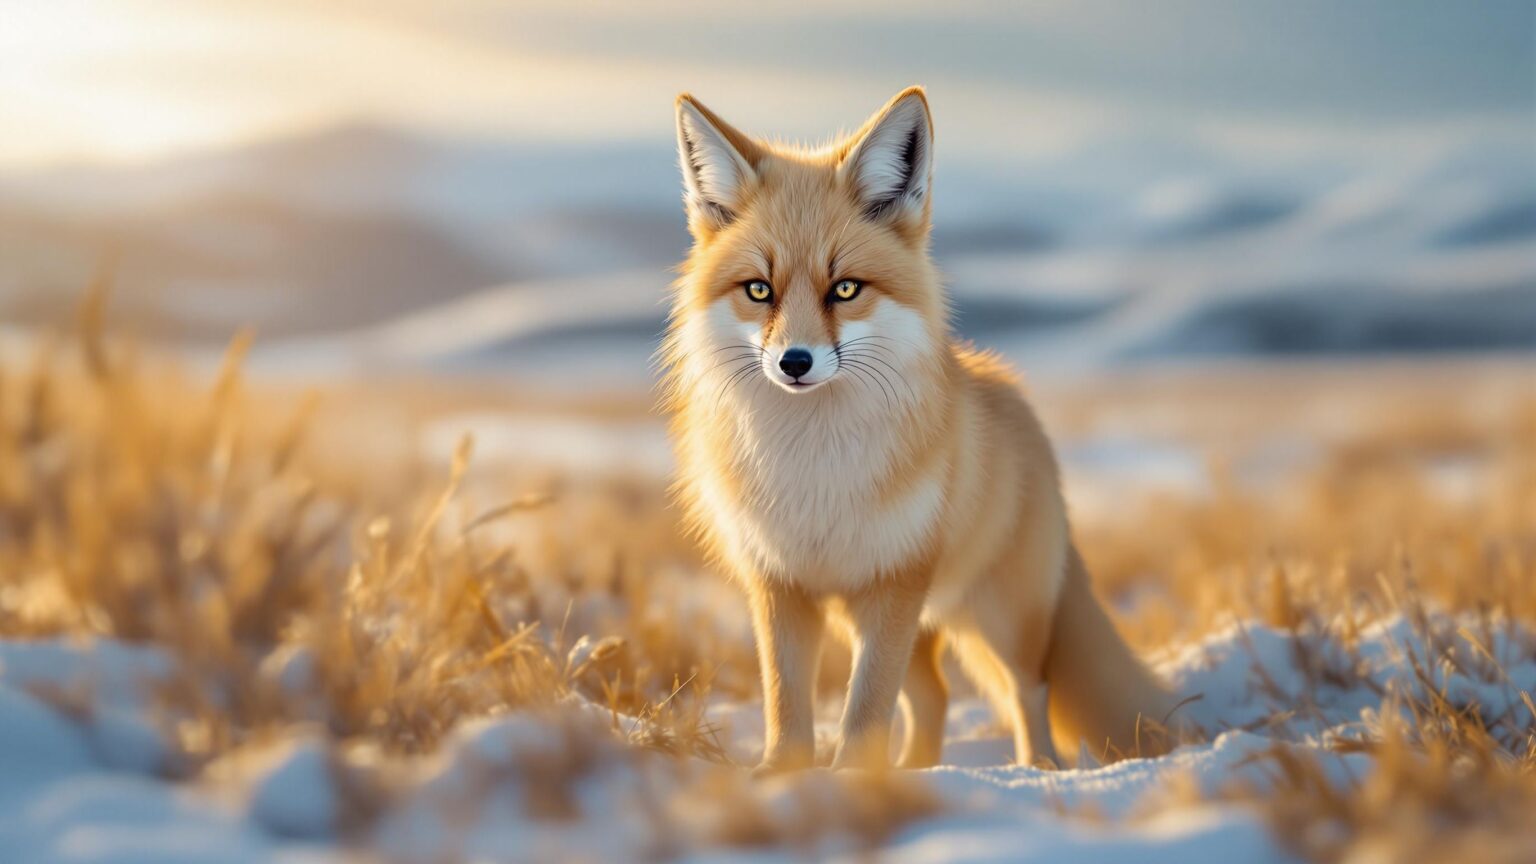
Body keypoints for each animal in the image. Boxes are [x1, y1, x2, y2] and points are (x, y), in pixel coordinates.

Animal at [660, 86, 1177, 772]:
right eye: (760, 290)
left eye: (845, 288)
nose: (794, 362)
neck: (814, 469)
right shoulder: (780, 584)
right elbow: (787, 707)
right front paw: (784, 776)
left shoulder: (893, 580)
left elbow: (864, 712)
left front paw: (850, 777)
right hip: (883, 620)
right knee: (932, 696)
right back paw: (917, 770)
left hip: (996, 617)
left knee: (1029, 688)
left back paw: (1035, 769)